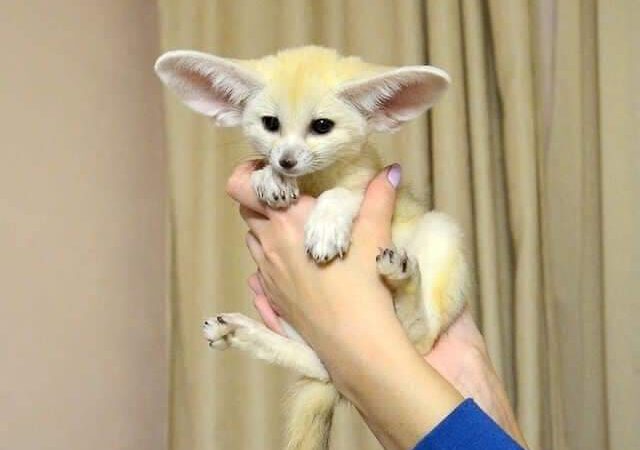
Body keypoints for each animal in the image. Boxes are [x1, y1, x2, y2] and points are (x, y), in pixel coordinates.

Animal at [155, 46, 469, 450]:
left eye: (321, 126)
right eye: (270, 123)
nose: (286, 161)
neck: (312, 182)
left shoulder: (366, 180)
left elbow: (341, 193)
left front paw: (326, 225)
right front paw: (269, 177)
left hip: (441, 233)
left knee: (419, 336)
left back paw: (402, 278)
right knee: (321, 366)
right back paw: (239, 332)